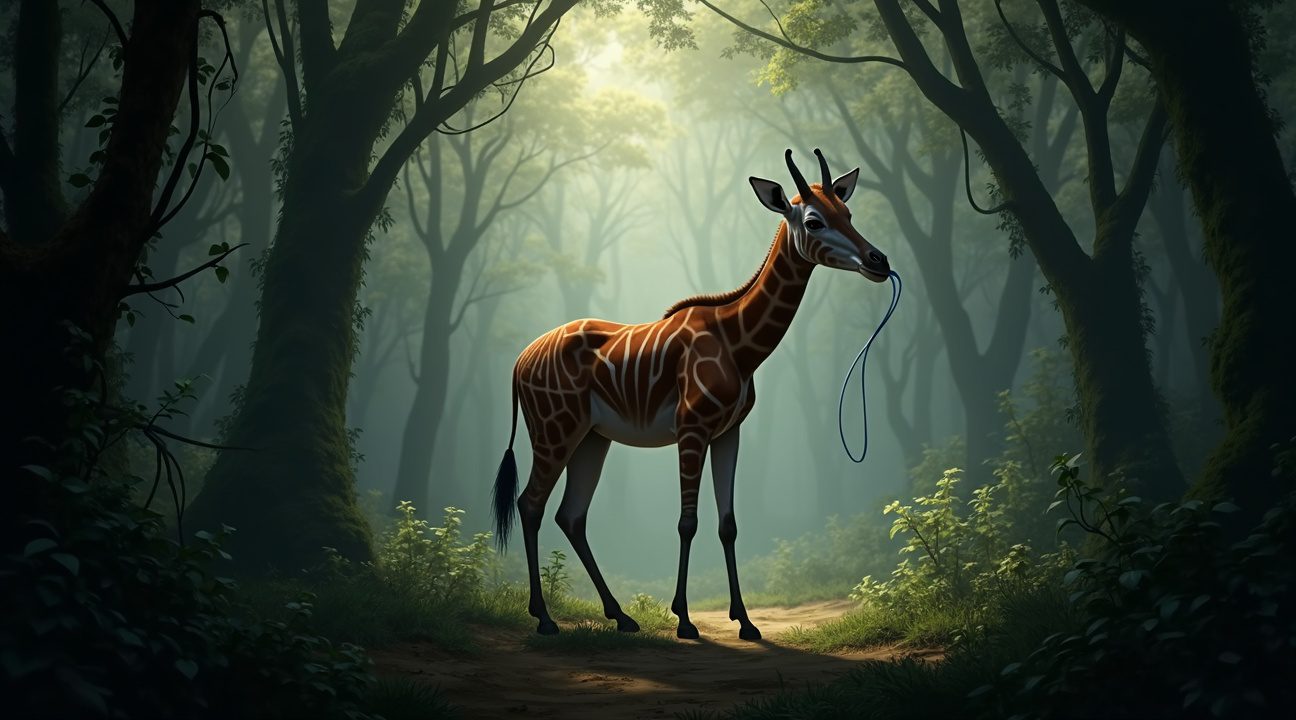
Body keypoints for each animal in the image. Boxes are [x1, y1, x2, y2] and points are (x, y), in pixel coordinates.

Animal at [492, 149, 891, 639]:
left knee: (571, 514)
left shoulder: (728, 433)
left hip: (591, 437)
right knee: (530, 504)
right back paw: (545, 618)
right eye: (814, 220)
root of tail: (518, 361)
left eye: (847, 212)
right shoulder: (692, 429)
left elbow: (728, 524)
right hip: (554, 431)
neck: (738, 345)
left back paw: (621, 616)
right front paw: (684, 619)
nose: (878, 260)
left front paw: (746, 622)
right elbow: (688, 521)